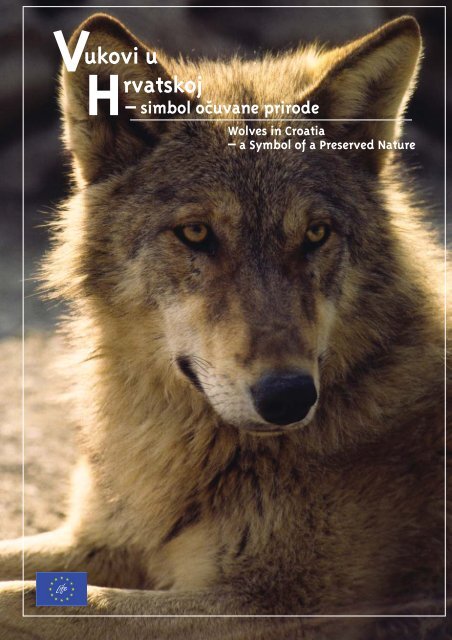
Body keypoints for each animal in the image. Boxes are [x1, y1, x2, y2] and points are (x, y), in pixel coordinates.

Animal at [0, 12, 448, 639]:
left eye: (315, 234)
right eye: (196, 233)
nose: (288, 397)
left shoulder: (276, 609)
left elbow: (34, 600)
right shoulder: (103, 539)